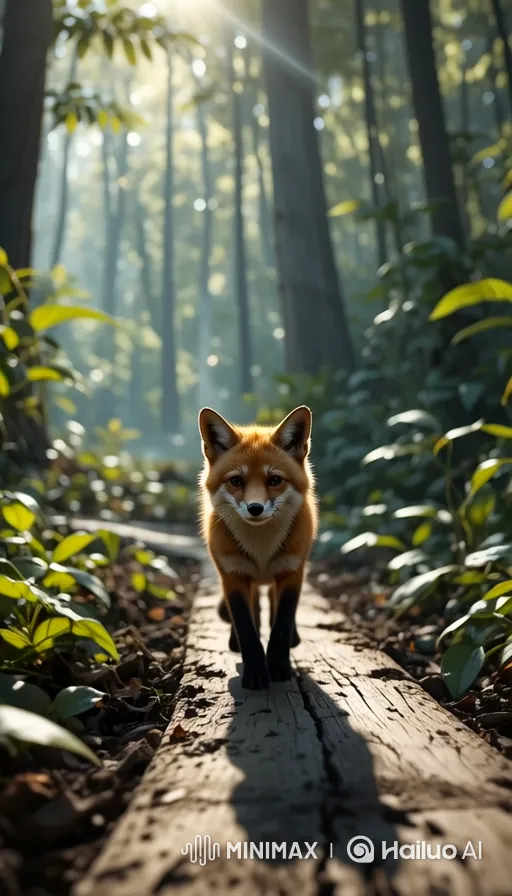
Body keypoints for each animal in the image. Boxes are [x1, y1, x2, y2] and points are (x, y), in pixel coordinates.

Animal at [198, 405, 318, 689]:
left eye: (274, 480)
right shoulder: (233, 575)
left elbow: (282, 623)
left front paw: (278, 667)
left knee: (272, 604)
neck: (261, 548)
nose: (255, 508)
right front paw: (254, 672)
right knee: (253, 607)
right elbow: (246, 627)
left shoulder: (291, 571)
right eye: (236, 481)